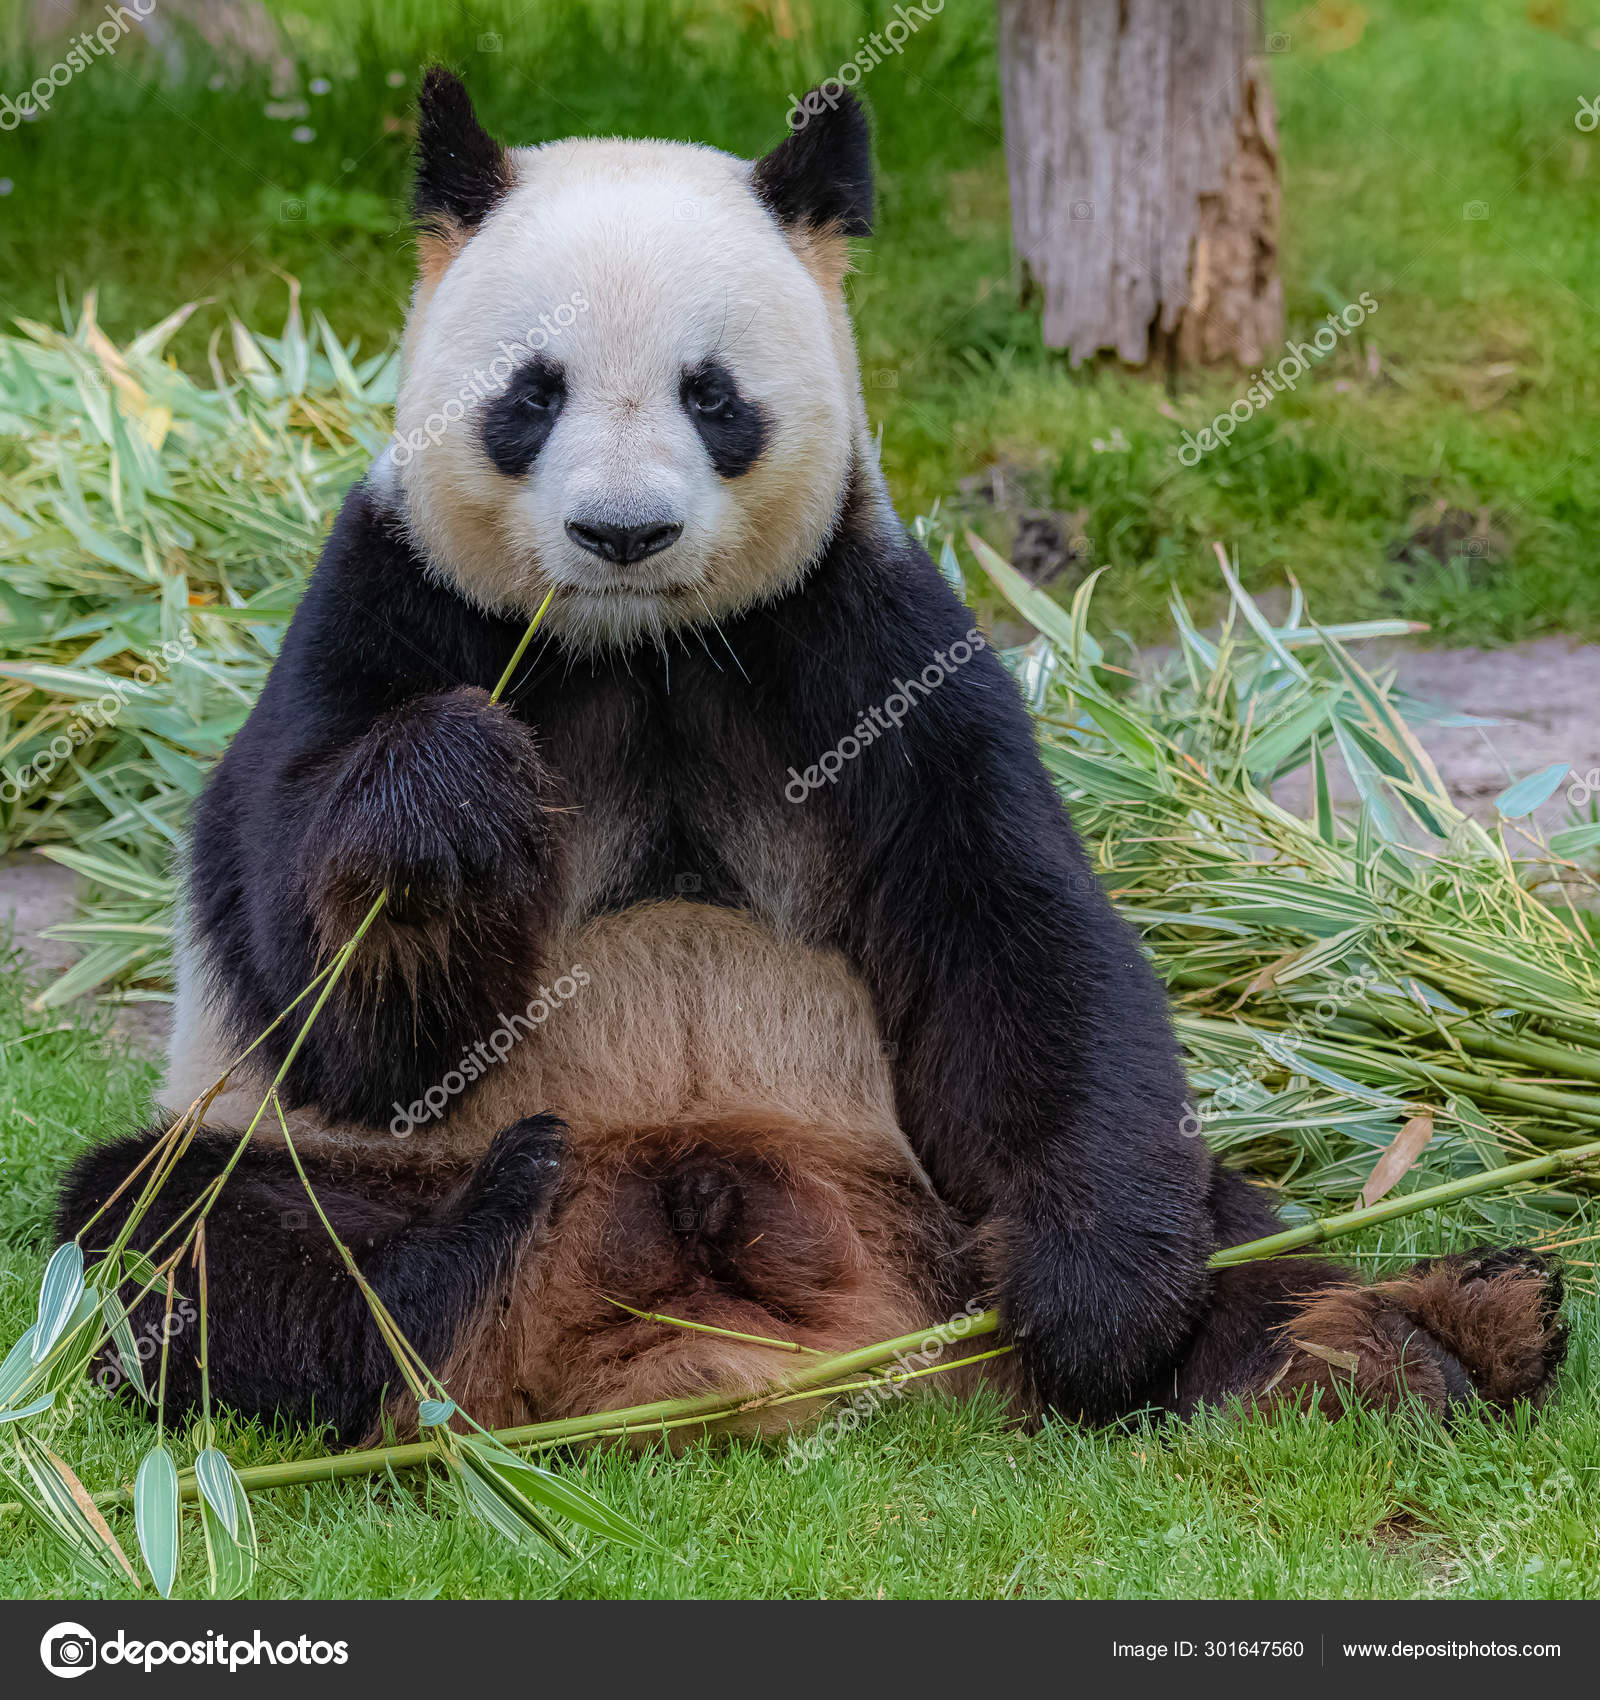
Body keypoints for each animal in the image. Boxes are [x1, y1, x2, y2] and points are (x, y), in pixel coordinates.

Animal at [60, 69, 1565, 1445]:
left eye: (713, 396)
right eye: (530, 396)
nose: (621, 533)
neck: (640, 647)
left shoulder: (856, 634)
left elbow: (1012, 931)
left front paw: (1093, 1307)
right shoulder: (392, 605)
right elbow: (330, 997)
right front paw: (455, 795)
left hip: (932, 1186)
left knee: (1229, 1221)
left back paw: (1415, 1336)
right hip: (301, 1166)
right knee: (176, 1235)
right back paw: (476, 1246)